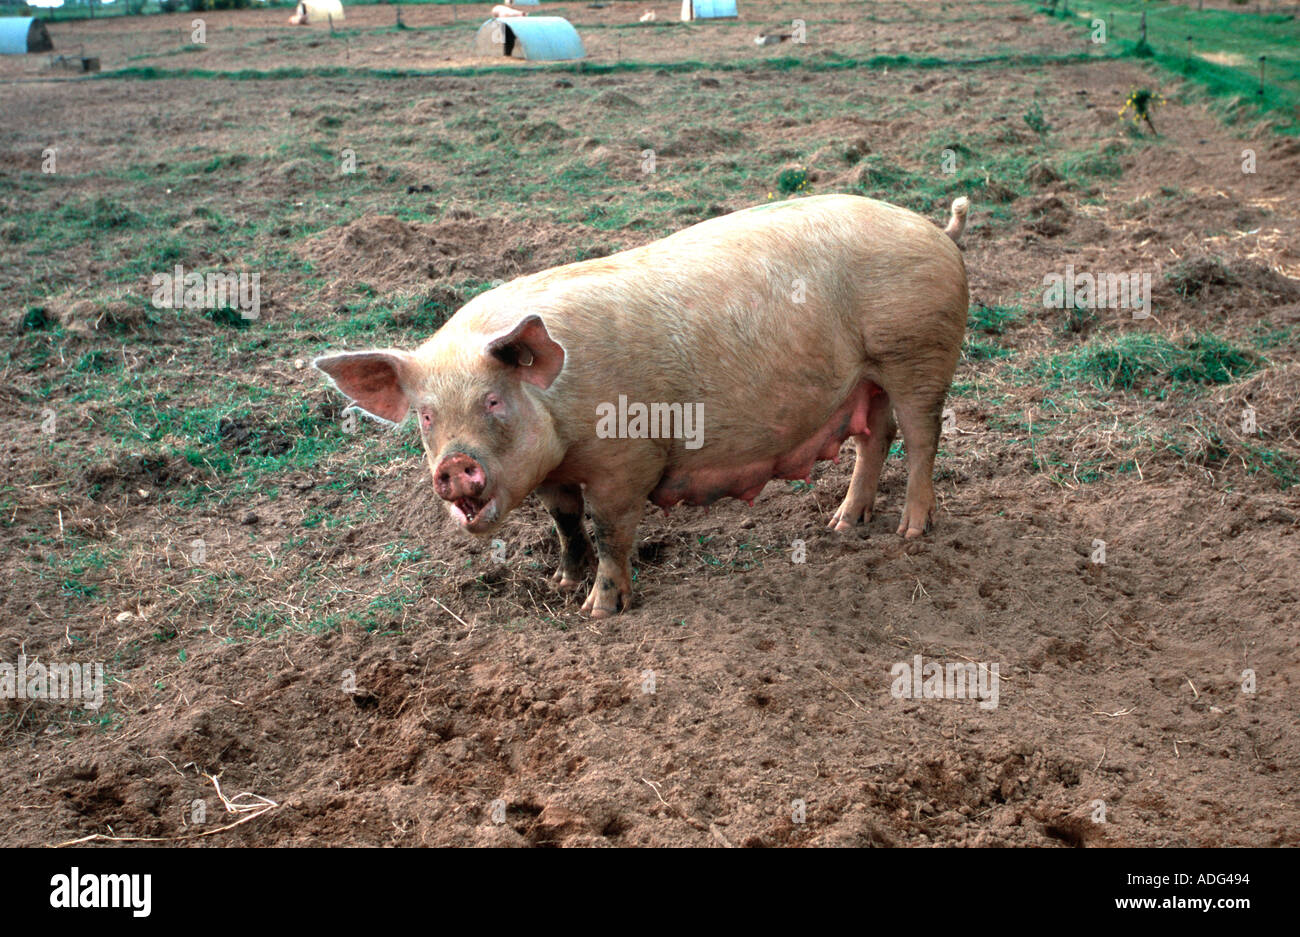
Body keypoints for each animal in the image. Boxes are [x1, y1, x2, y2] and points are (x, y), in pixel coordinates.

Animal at [314, 193, 970, 617]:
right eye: (426, 416)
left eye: (494, 401)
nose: (453, 465)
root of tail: (938, 229)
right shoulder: (555, 472)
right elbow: (565, 521)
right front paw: (561, 582)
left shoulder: (624, 461)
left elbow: (610, 530)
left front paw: (597, 612)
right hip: (868, 376)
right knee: (875, 437)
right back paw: (841, 524)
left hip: (919, 353)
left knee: (922, 439)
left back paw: (911, 532)